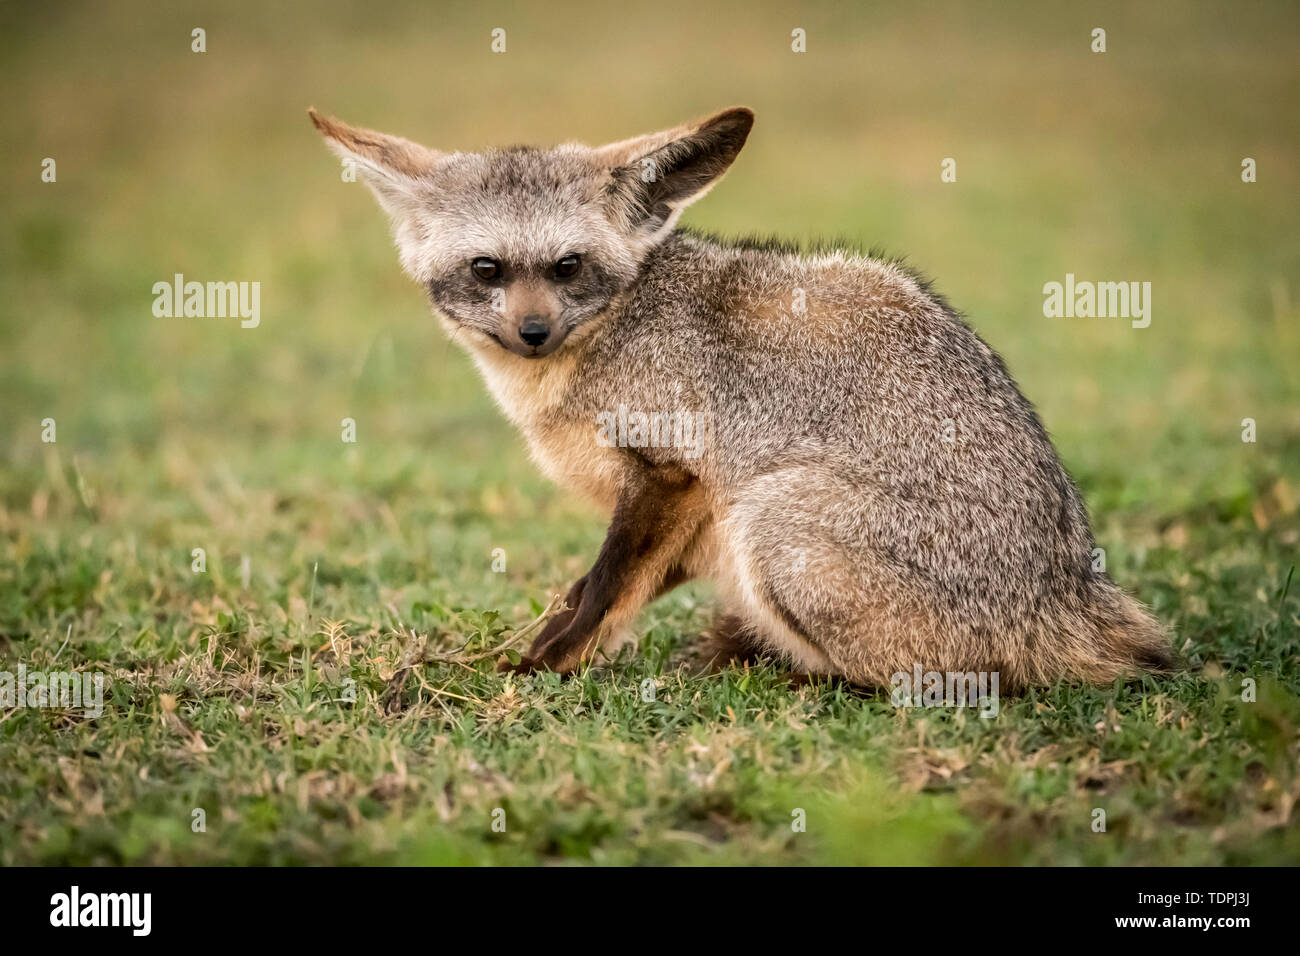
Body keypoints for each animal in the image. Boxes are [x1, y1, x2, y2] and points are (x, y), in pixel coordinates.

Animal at [309, 105, 1173, 691]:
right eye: (487, 269)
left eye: (567, 268)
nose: (532, 331)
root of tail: (1074, 594)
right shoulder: (694, 512)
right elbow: (597, 588)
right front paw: (542, 644)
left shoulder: (675, 471)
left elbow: (606, 586)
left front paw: (543, 668)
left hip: (770, 517)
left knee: (921, 679)